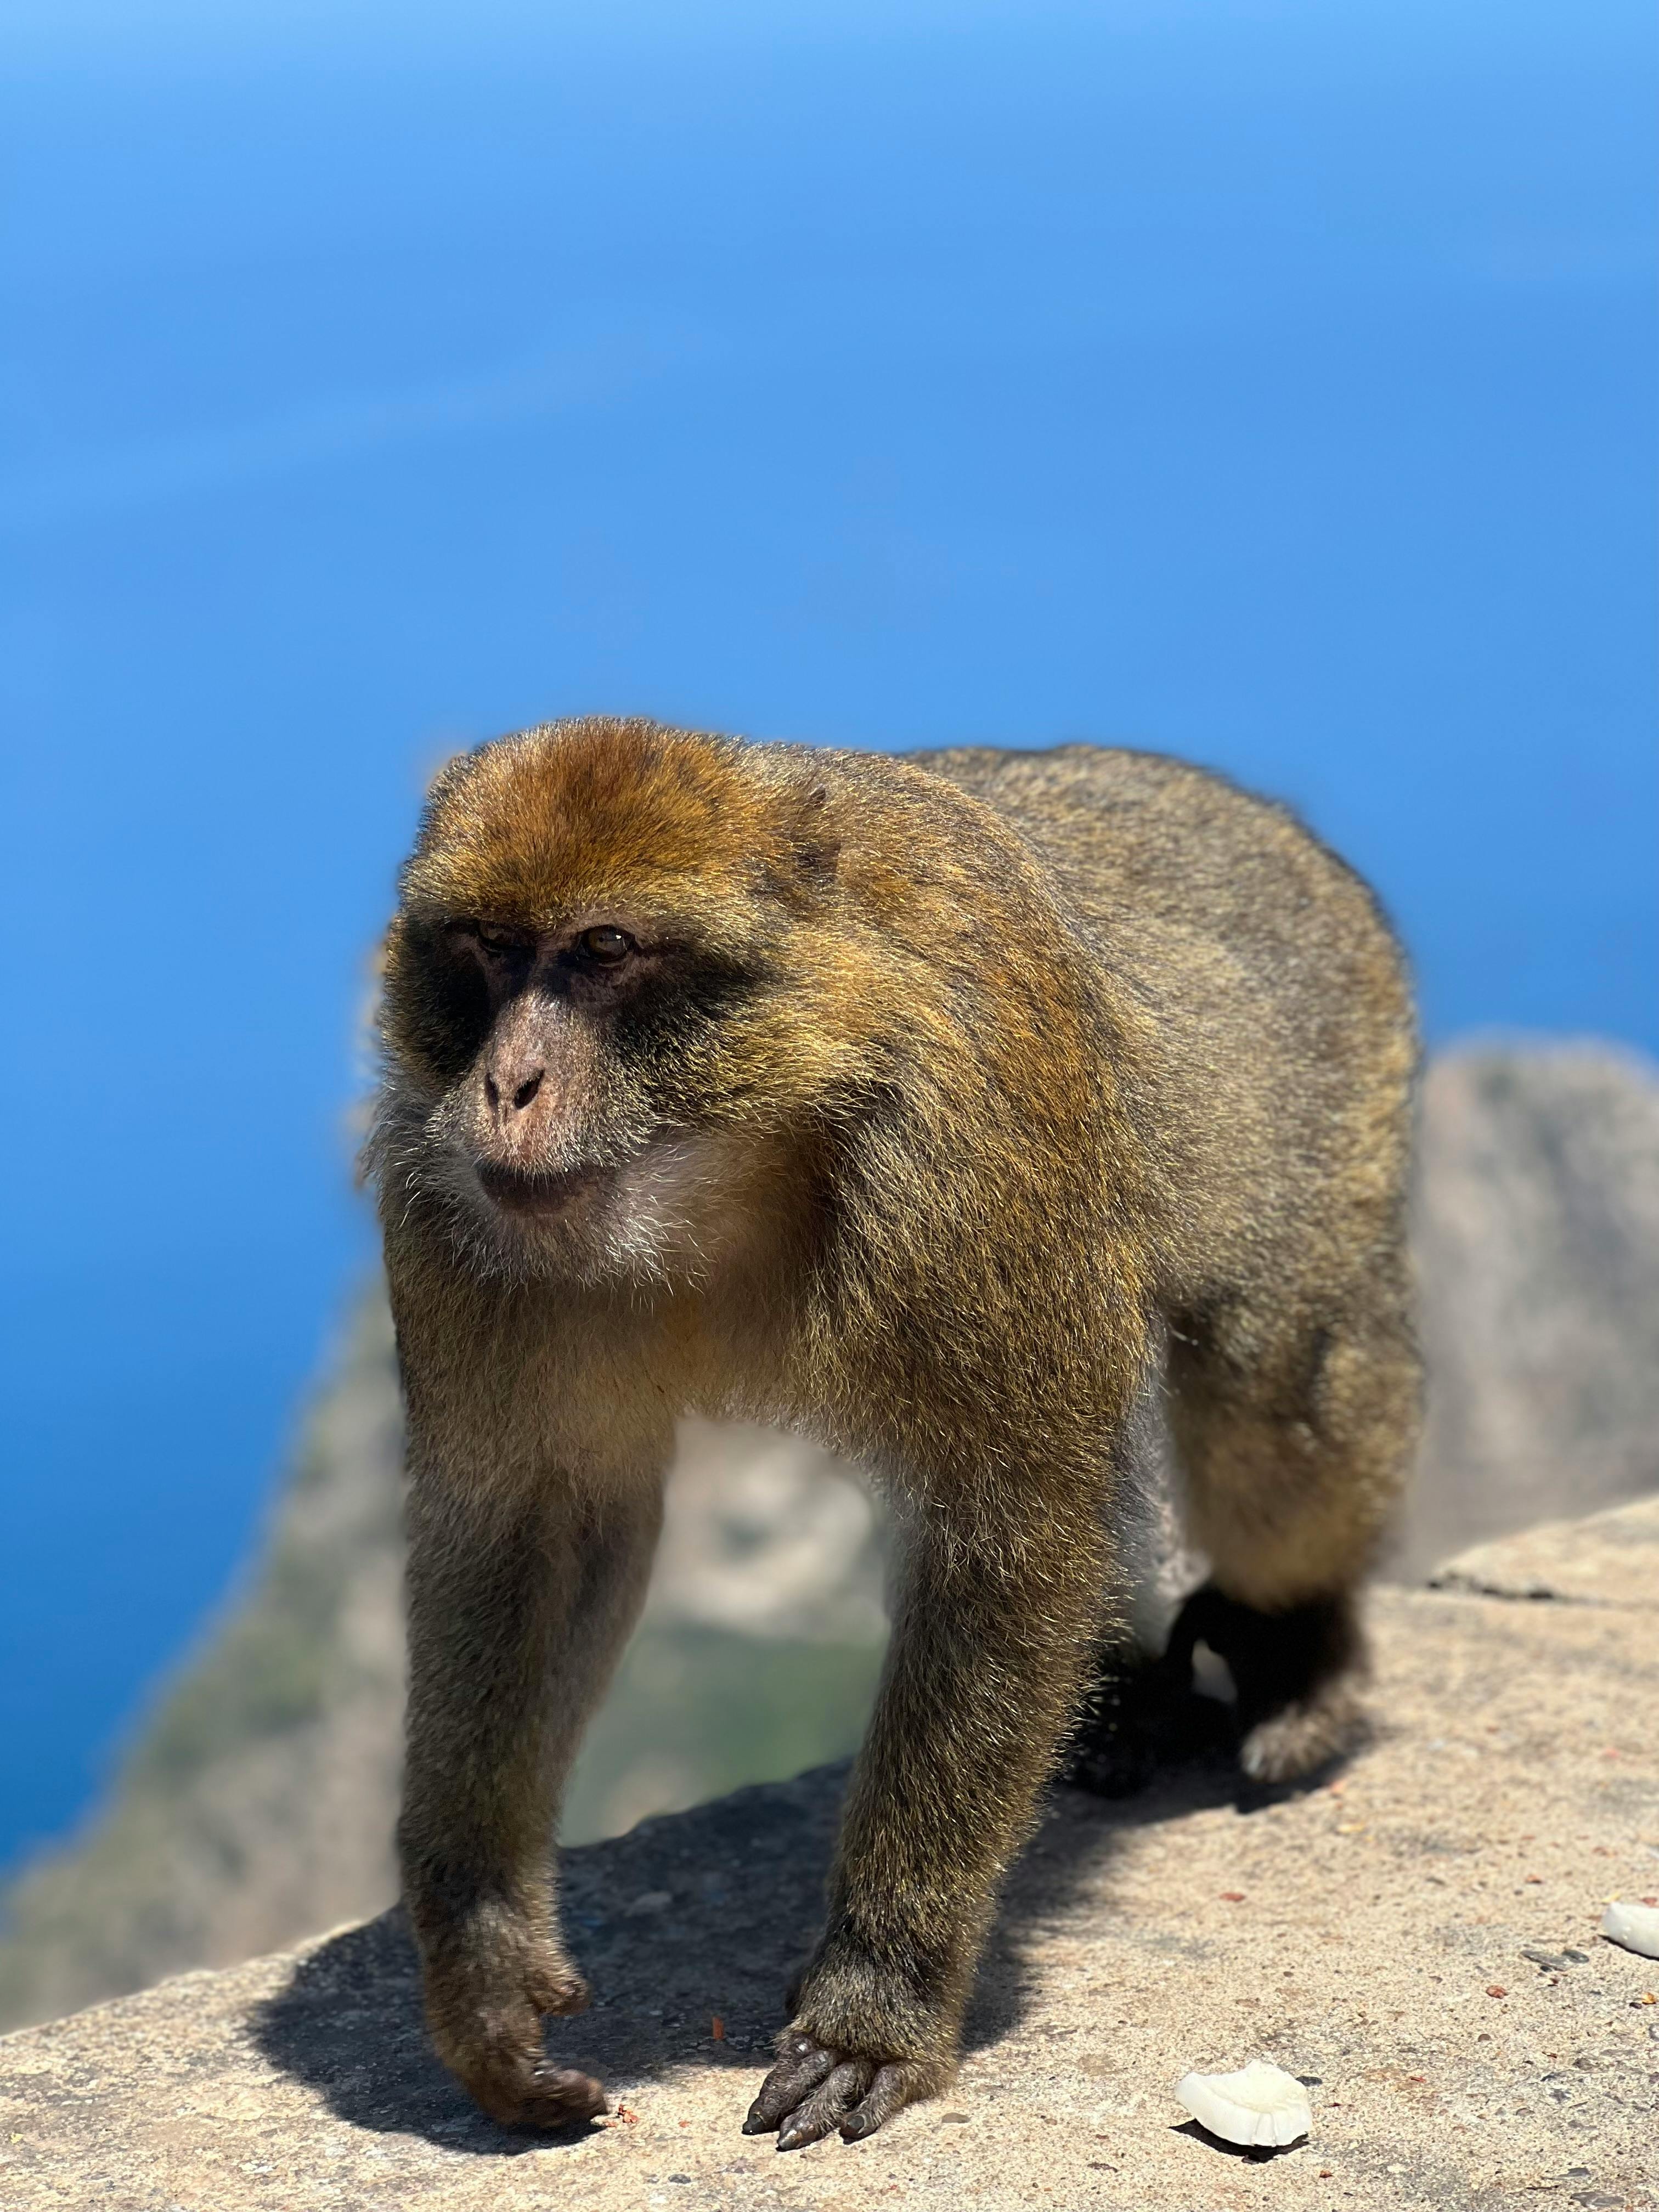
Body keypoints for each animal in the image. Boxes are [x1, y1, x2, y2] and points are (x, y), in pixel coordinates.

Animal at [365, 714, 1421, 2150]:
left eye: (604, 952)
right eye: (483, 950)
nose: (507, 1083)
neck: (739, 1144)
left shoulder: (977, 1136)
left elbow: (1008, 1526)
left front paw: (879, 2003)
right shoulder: (454, 1214)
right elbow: (537, 1527)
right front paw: (483, 1960)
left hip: (1326, 1073)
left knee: (1274, 1386)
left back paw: (1298, 1651)